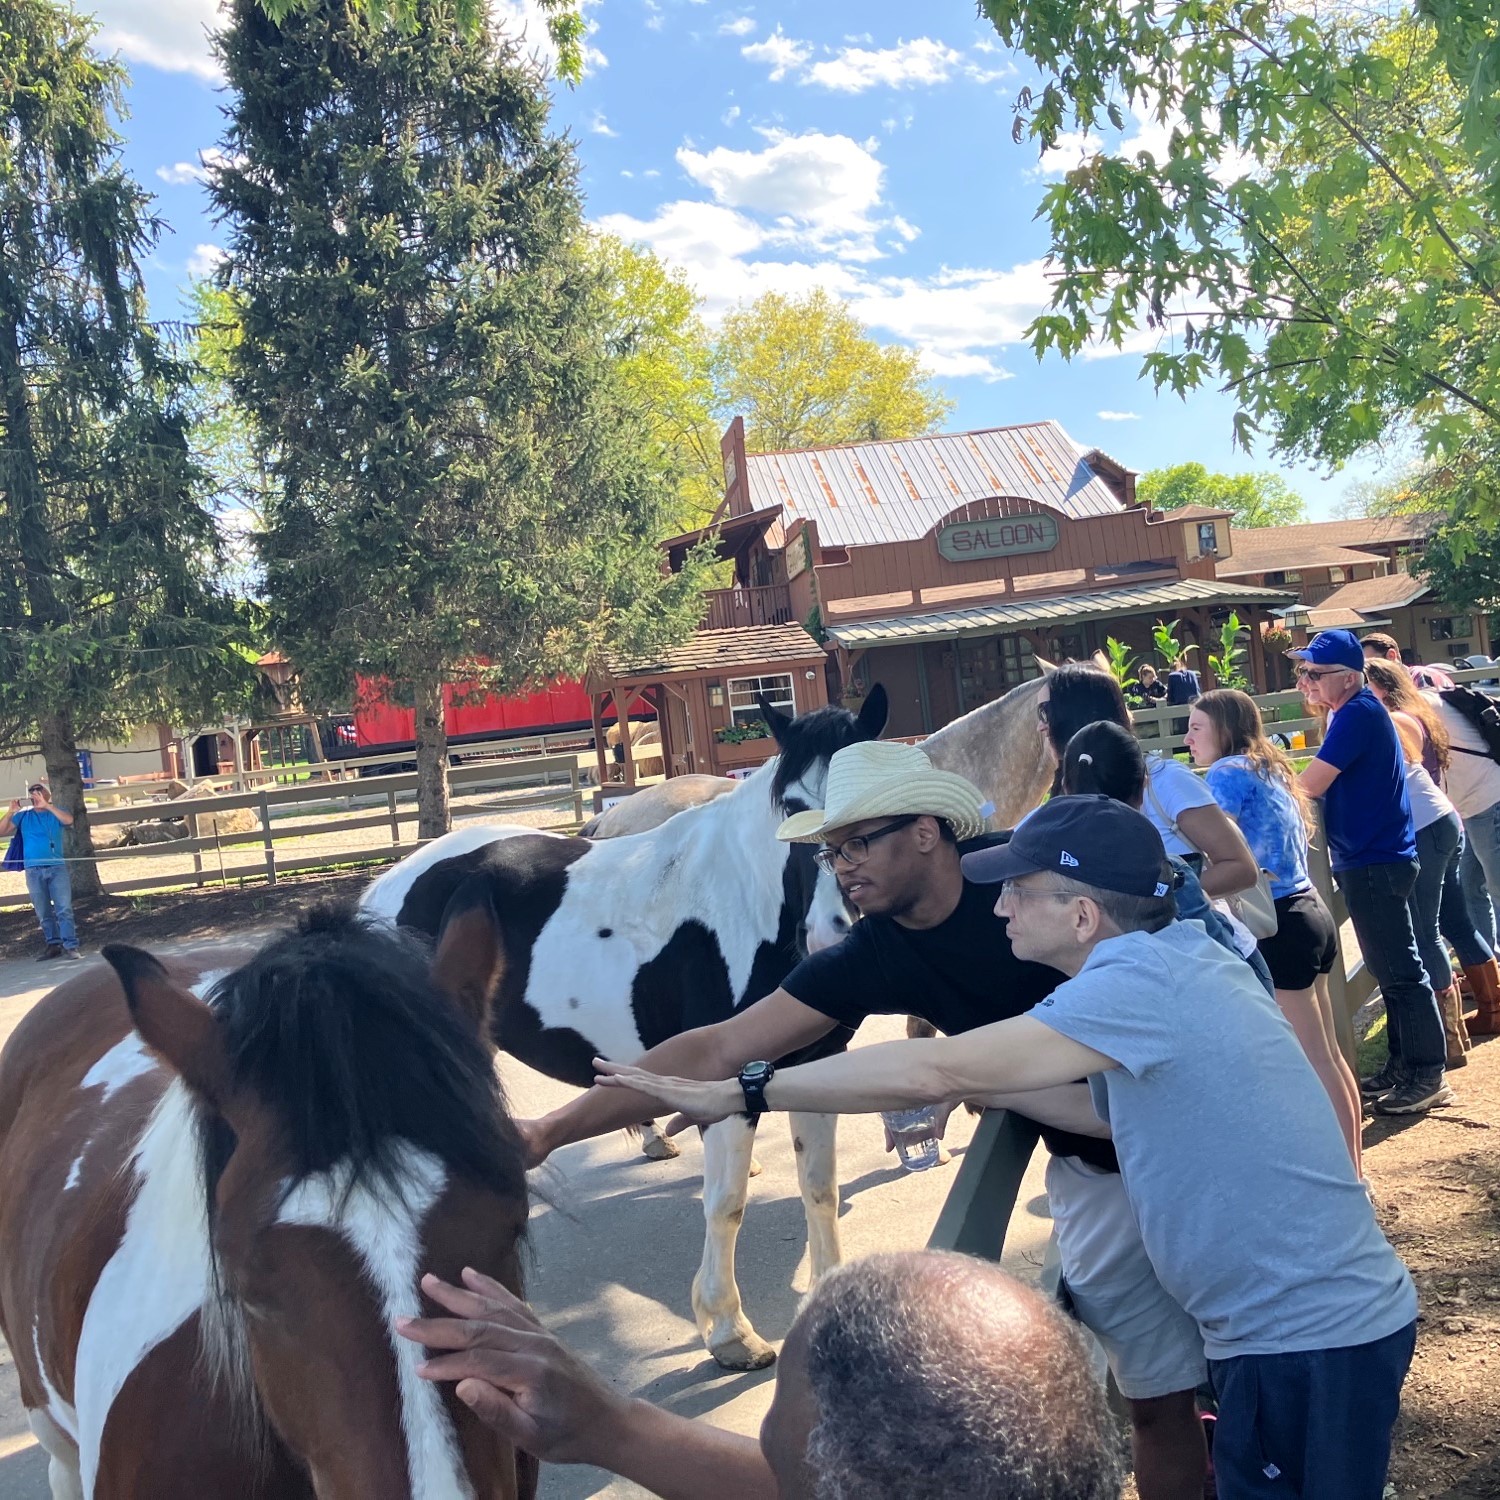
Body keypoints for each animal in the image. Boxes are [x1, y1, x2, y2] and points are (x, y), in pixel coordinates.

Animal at [360, 688, 888, 1370]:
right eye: (793, 807)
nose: (831, 933)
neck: (751, 904)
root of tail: (384, 892)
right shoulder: (727, 1086)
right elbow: (726, 1206)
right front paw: (729, 1333)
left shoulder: (809, 1069)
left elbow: (819, 1188)